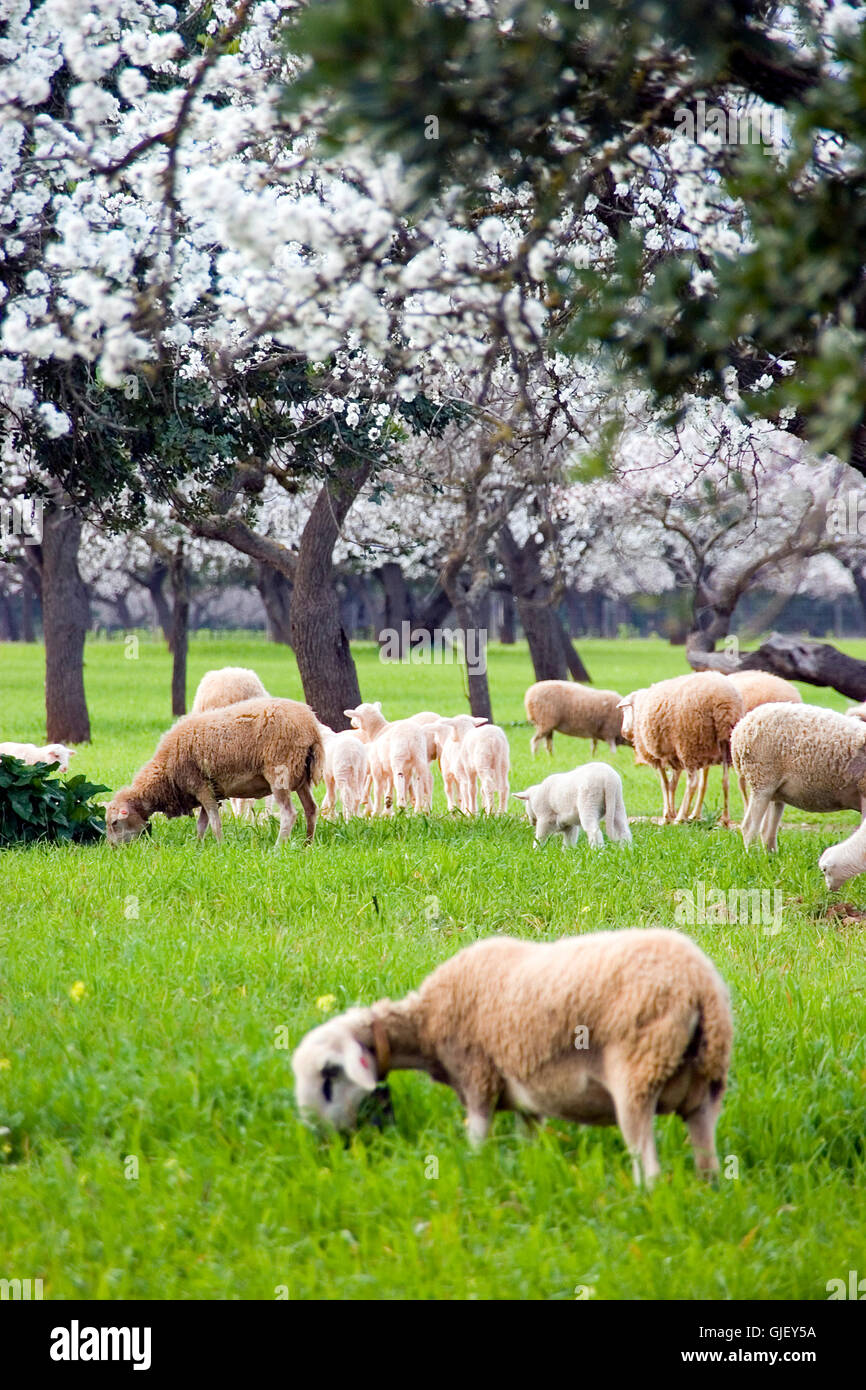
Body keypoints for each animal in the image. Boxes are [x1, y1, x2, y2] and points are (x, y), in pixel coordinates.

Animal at [105, 697, 324, 847]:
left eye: (115, 822)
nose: (113, 848)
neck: (165, 774)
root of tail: (310, 725)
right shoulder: (210, 791)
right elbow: (202, 823)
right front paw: (198, 846)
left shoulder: (200, 786)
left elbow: (215, 822)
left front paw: (220, 846)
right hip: (301, 777)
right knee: (311, 809)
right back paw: (308, 844)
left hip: (280, 771)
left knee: (289, 813)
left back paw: (278, 847)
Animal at [292, 928, 732, 1185]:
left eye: (328, 1077)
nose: (325, 1146)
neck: (427, 1023)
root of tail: (701, 987)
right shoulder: (528, 1100)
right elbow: (529, 1143)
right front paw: (530, 1173)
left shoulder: (478, 1078)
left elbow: (477, 1141)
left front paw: (475, 1171)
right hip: (704, 1091)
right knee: (708, 1166)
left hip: (637, 1071)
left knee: (651, 1170)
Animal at [618, 673, 743, 826]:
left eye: (624, 710)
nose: (623, 732)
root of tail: (725, 704)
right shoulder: (674, 757)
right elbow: (673, 785)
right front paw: (671, 813)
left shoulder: (658, 757)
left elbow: (665, 784)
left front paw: (667, 816)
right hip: (725, 745)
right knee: (725, 781)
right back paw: (724, 819)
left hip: (688, 745)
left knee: (693, 782)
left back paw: (681, 817)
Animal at [731, 702, 866, 852]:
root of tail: (740, 727)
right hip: (762, 779)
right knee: (749, 827)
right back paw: (753, 855)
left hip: (775, 791)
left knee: (767, 831)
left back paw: (772, 857)